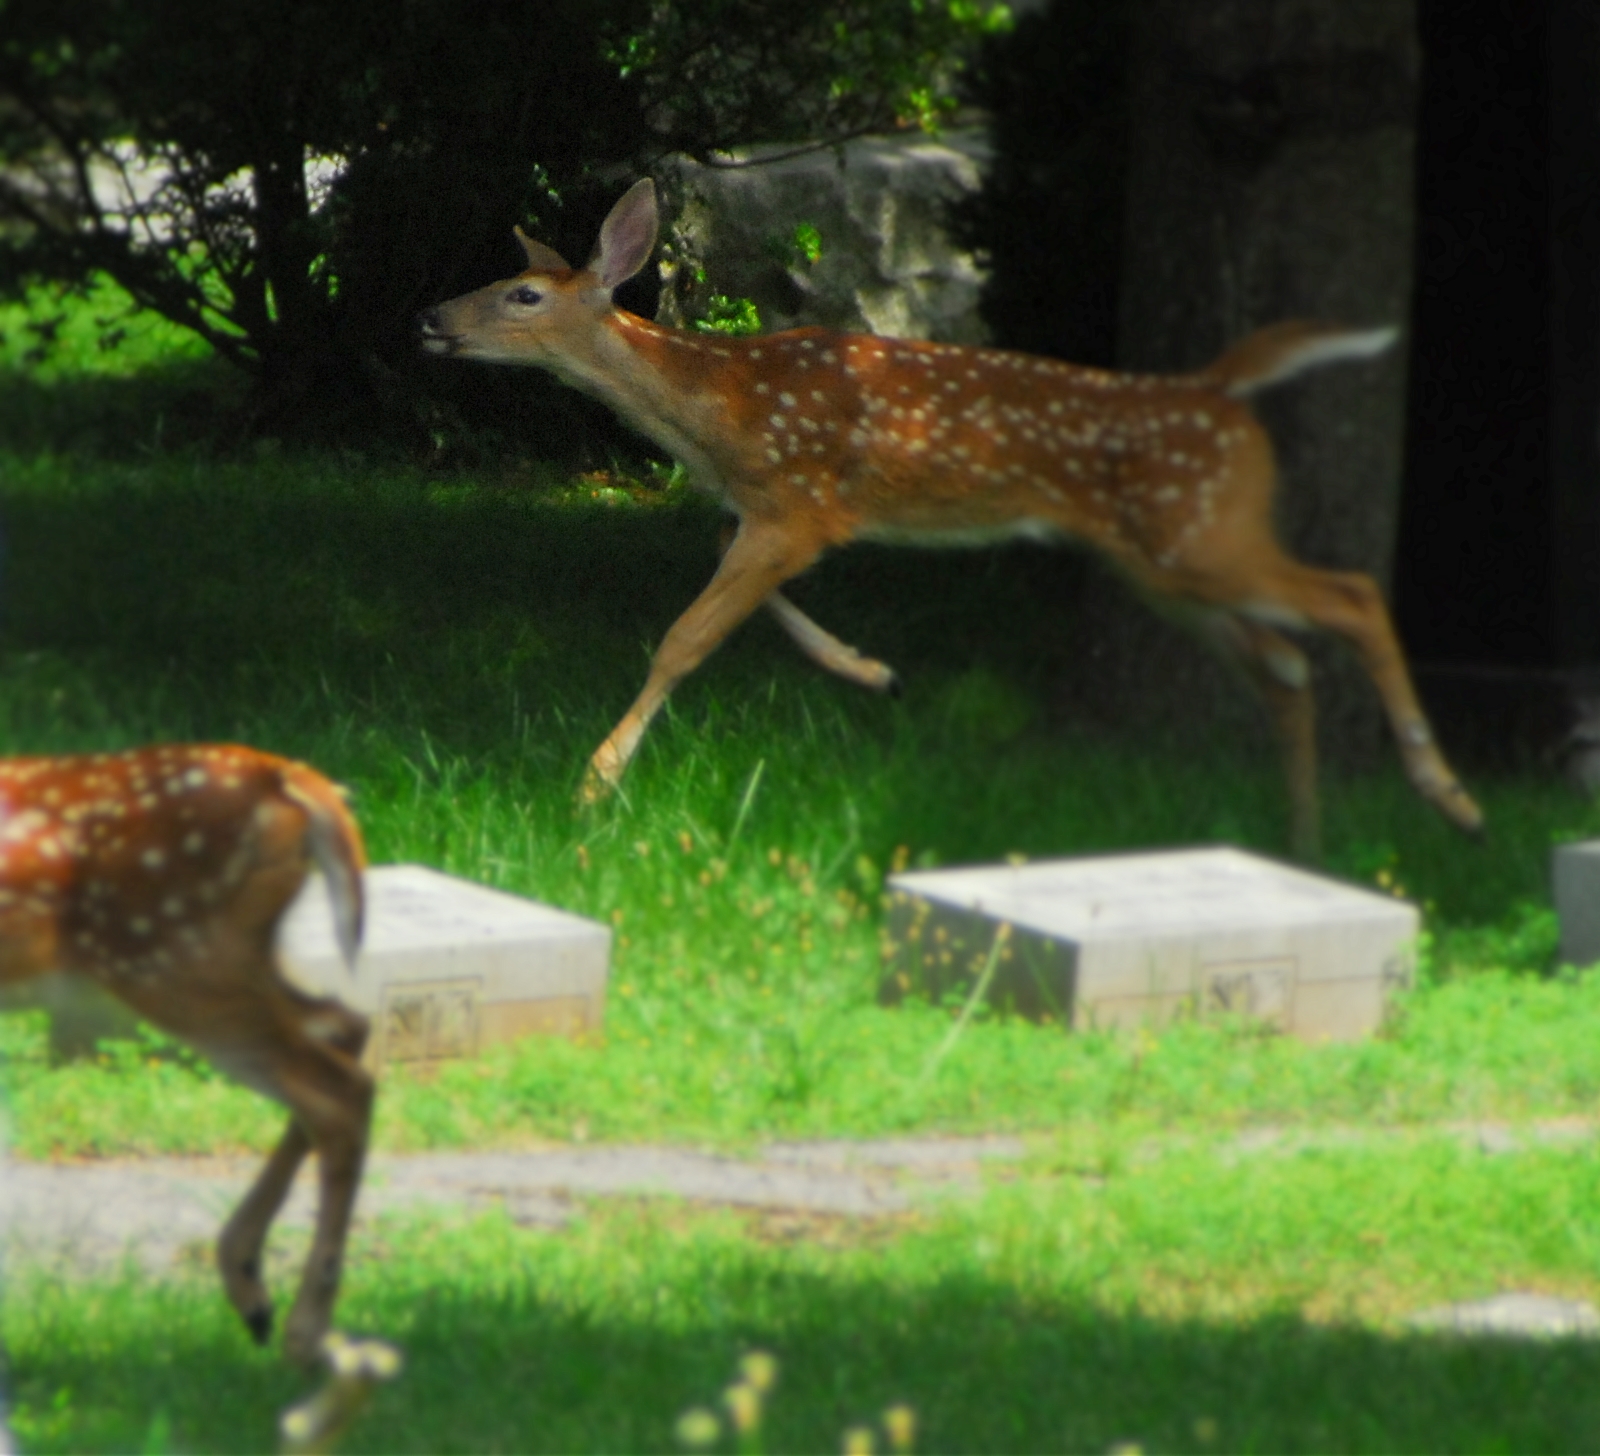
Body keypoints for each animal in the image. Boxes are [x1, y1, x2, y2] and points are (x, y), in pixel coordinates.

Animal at [0, 743, 370, 1366]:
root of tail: (288, 776)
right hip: (226, 957)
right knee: (345, 1029)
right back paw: (250, 1286)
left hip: (170, 953)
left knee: (338, 1089)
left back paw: (303, 1332)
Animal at [418, 178, 1483, 861]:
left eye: (521, 293)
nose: (431, 318)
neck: (717, 412)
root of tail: (1221, 391)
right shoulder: (769, 511)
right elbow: (724, 575)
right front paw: (872, 671)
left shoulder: (801, 503)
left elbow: (683, 638)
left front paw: (594, 785)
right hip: (1164, 558)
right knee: (1286, 662)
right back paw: (1305, 844)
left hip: (1198, 534)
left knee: (1349, 597)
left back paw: (1450, 798)